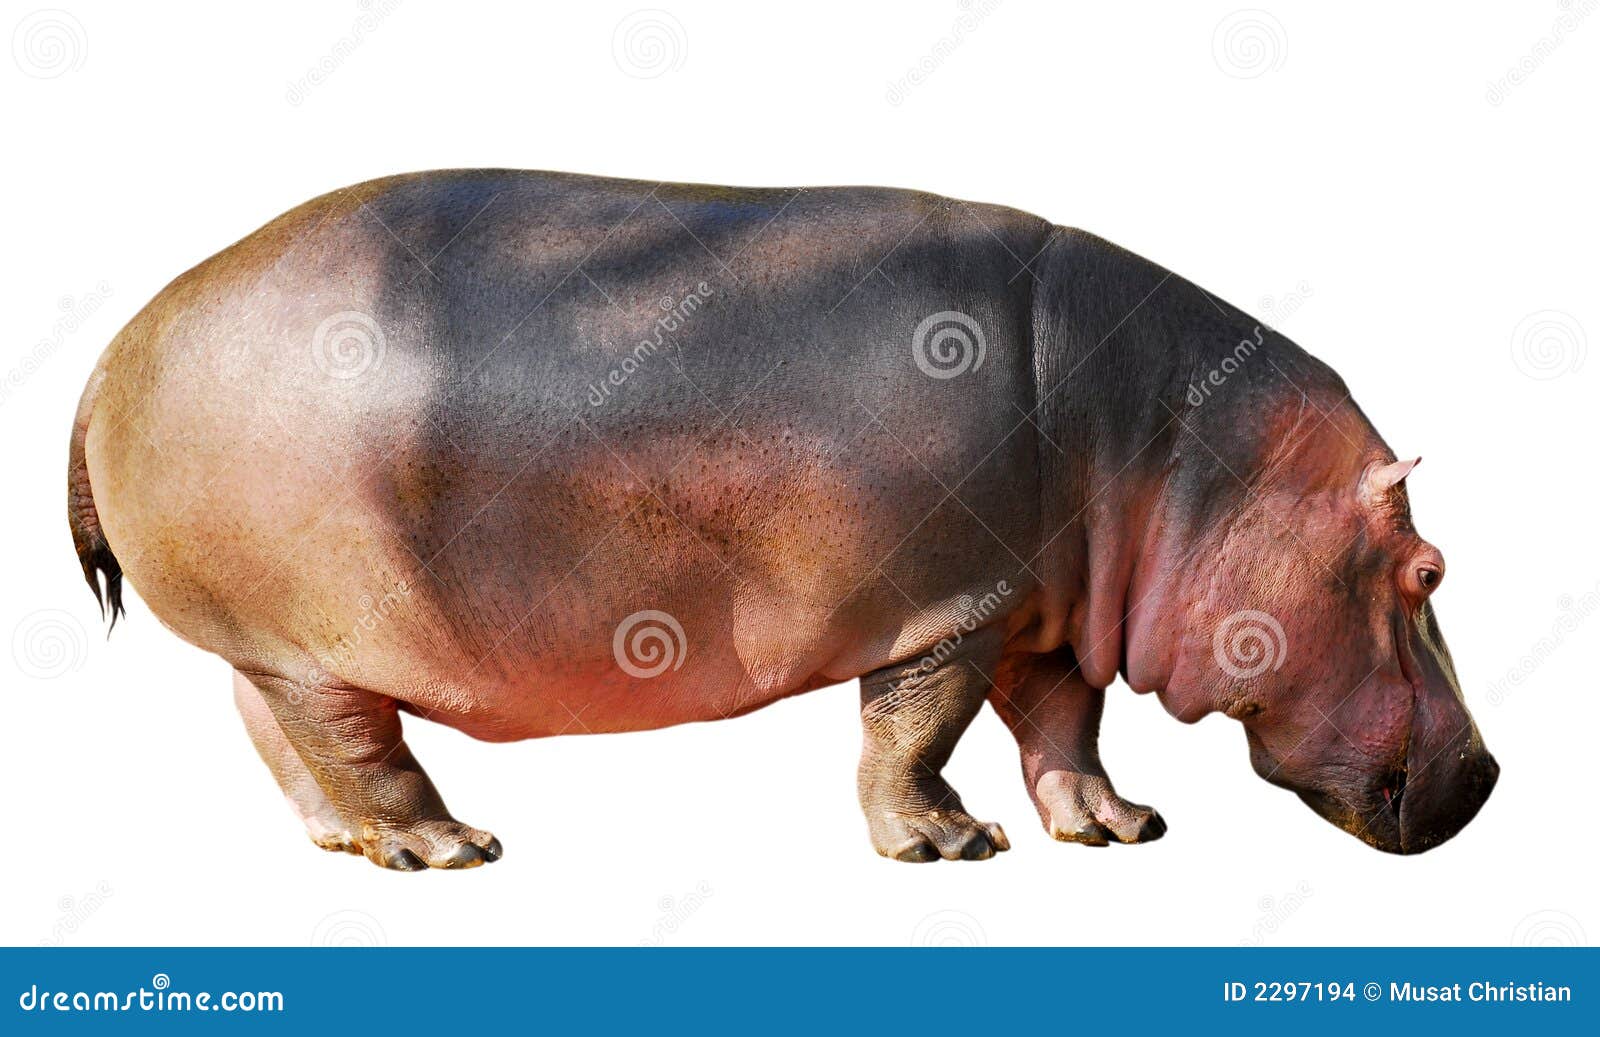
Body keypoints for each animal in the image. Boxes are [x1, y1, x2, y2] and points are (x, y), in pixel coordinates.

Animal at [67, 169, 1497, 869]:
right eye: (1430, 568)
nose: (1487, 778)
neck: (1191, 451)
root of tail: (115, 345)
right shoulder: (952, 605)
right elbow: (916, 730)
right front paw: (949, 846)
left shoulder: (1045, 606)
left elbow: (1064, 723)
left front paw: (1117, 829)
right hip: (313, 634)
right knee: (351, 739)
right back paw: (444, 845)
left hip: (275, 642)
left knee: (275, 727)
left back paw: (340, 841)